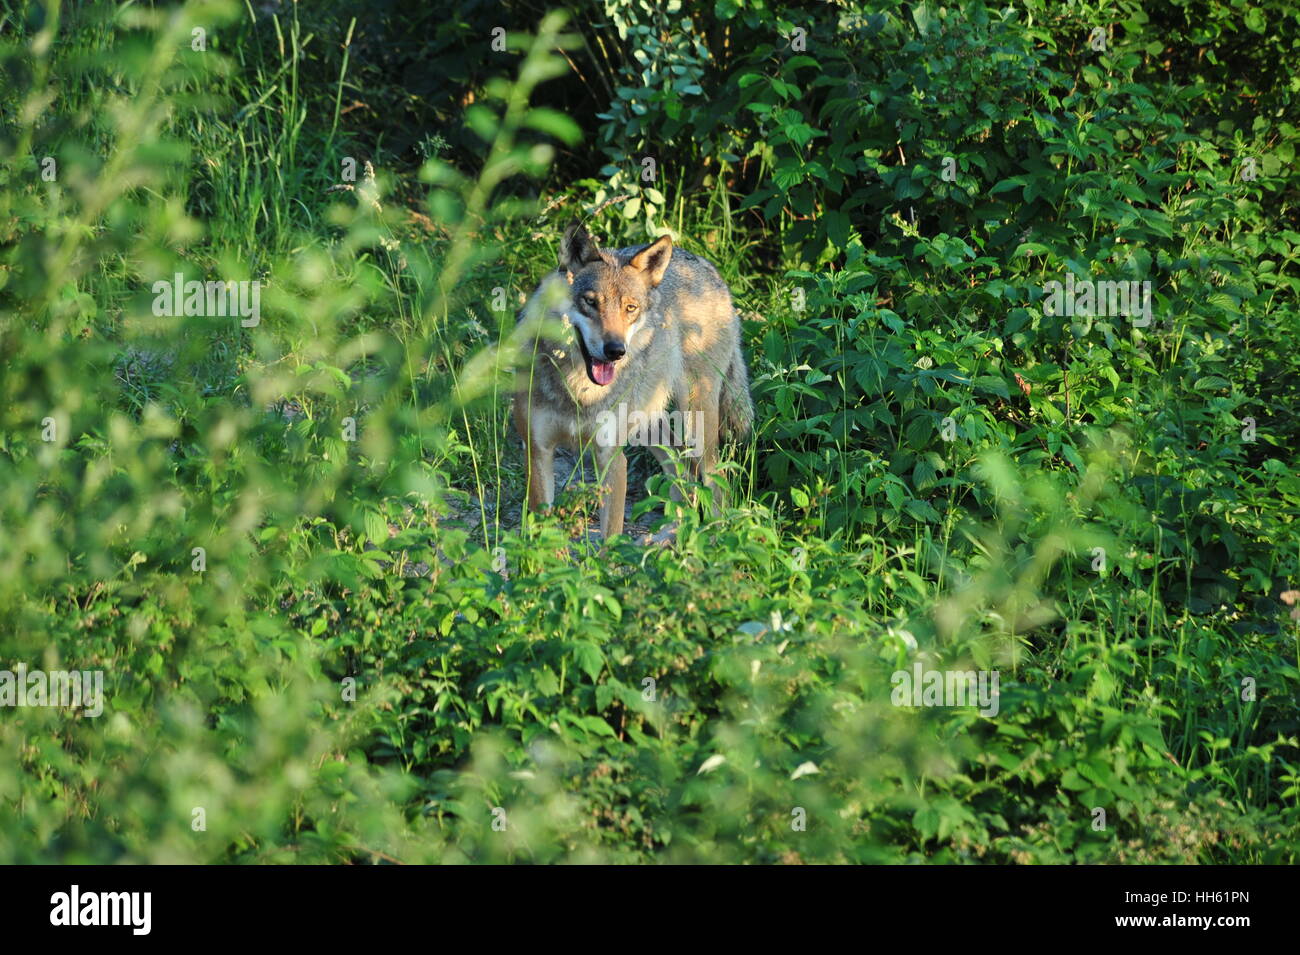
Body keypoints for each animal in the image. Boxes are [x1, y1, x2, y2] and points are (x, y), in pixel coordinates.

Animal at [512, 220, 753, 539]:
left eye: (630, 308)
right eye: (590, 302)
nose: (615, 350)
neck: (580, 392)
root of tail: (709, 267)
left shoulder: (612, 458)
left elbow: (610, 538)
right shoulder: (538, 451)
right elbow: (542, 535)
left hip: (696, 421)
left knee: (714, 478)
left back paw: (715, 538)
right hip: (647, 423)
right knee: (681, 463)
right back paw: (668, 537)